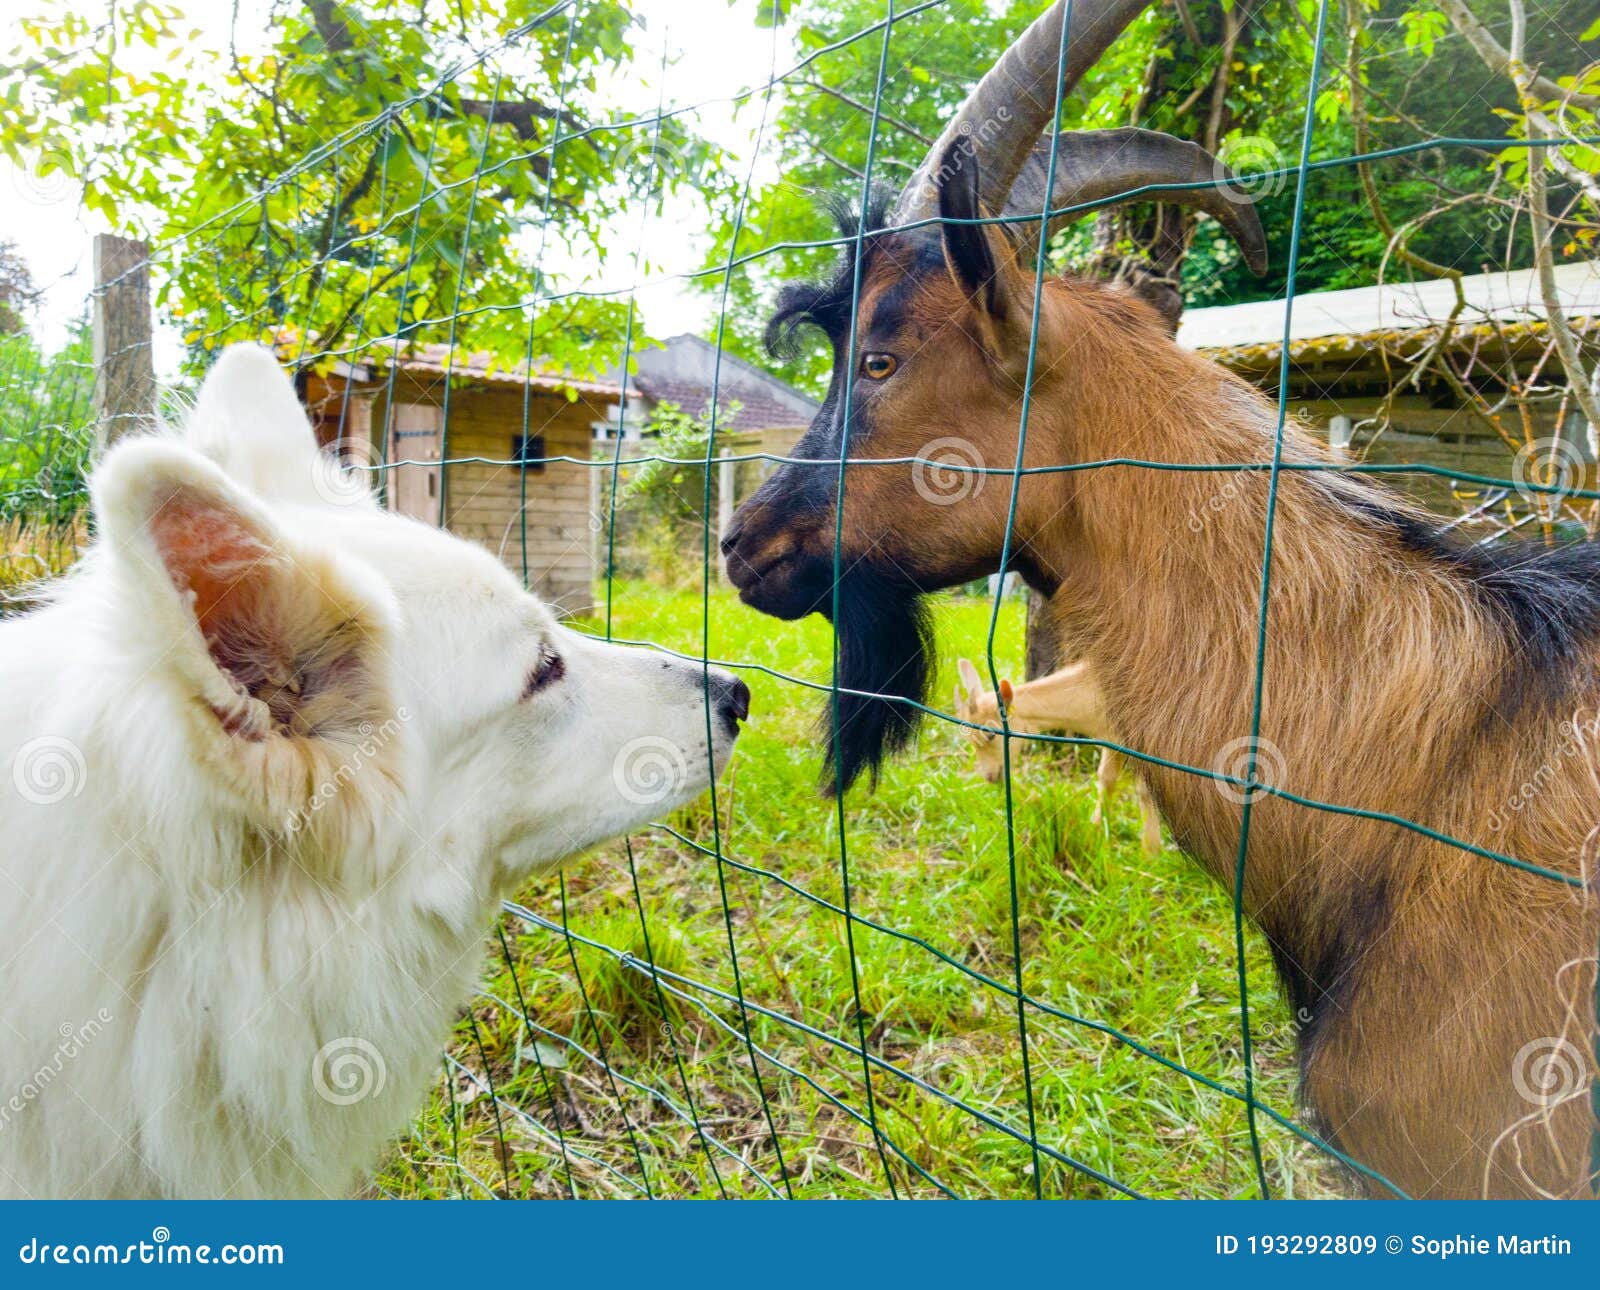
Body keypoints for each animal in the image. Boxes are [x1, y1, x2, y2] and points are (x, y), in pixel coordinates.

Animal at [952, 657, 1161, 855]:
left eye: (991, 735)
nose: (990, 776)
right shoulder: (1111, 739)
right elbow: (1106, 779)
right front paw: (1096, 830)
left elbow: (1145, 791)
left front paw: (1150, 853)